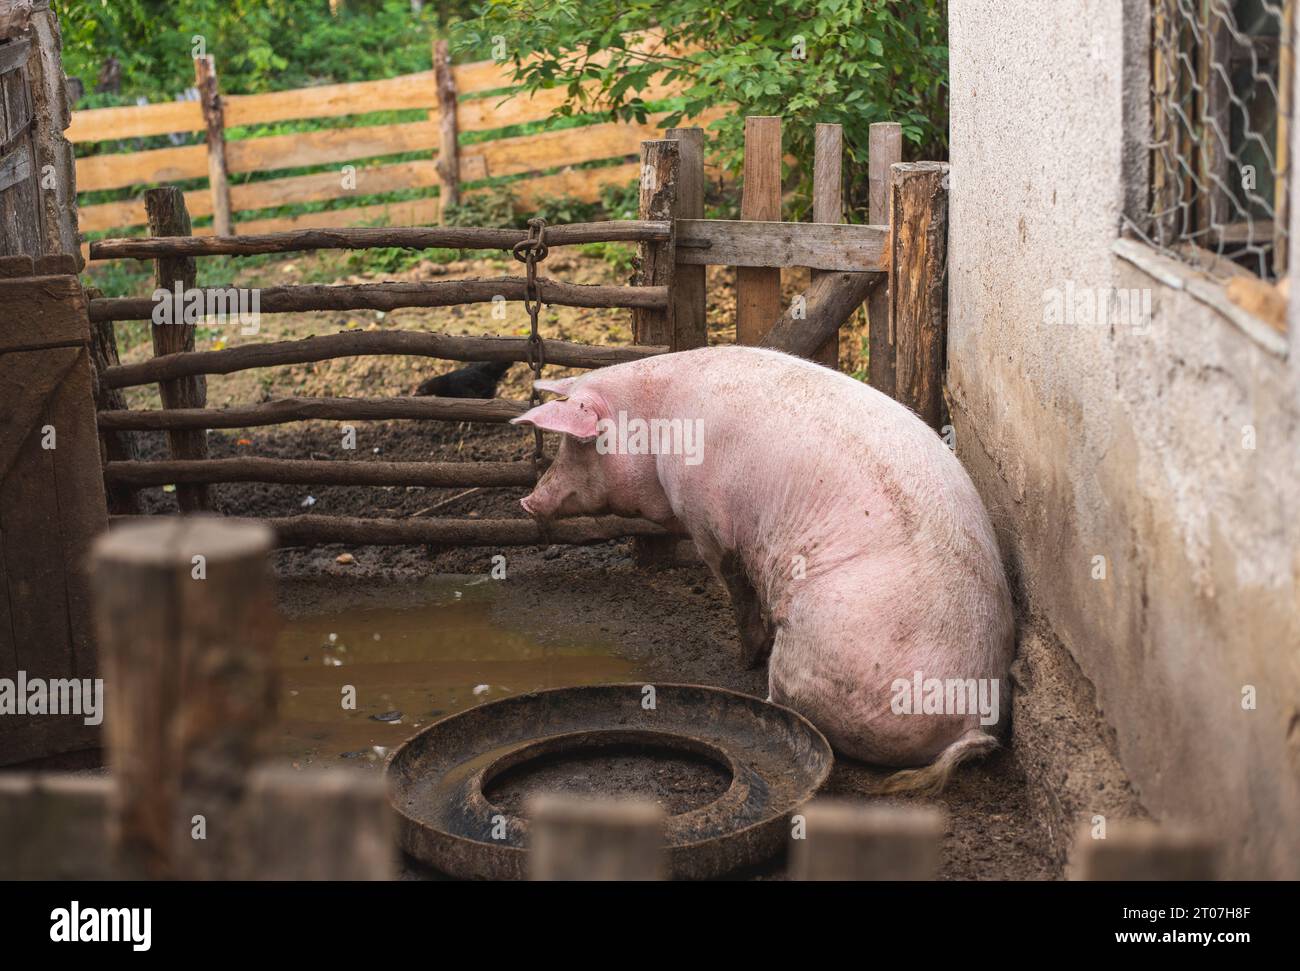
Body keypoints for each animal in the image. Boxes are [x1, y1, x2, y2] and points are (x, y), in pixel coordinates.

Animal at [511, 346, 1014, 793]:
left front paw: (745, 656)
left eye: (576, 444)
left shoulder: (708, 521)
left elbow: (737, 588)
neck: (657, 422)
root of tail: (971, 718)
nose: (527, 501)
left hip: (818, 659)